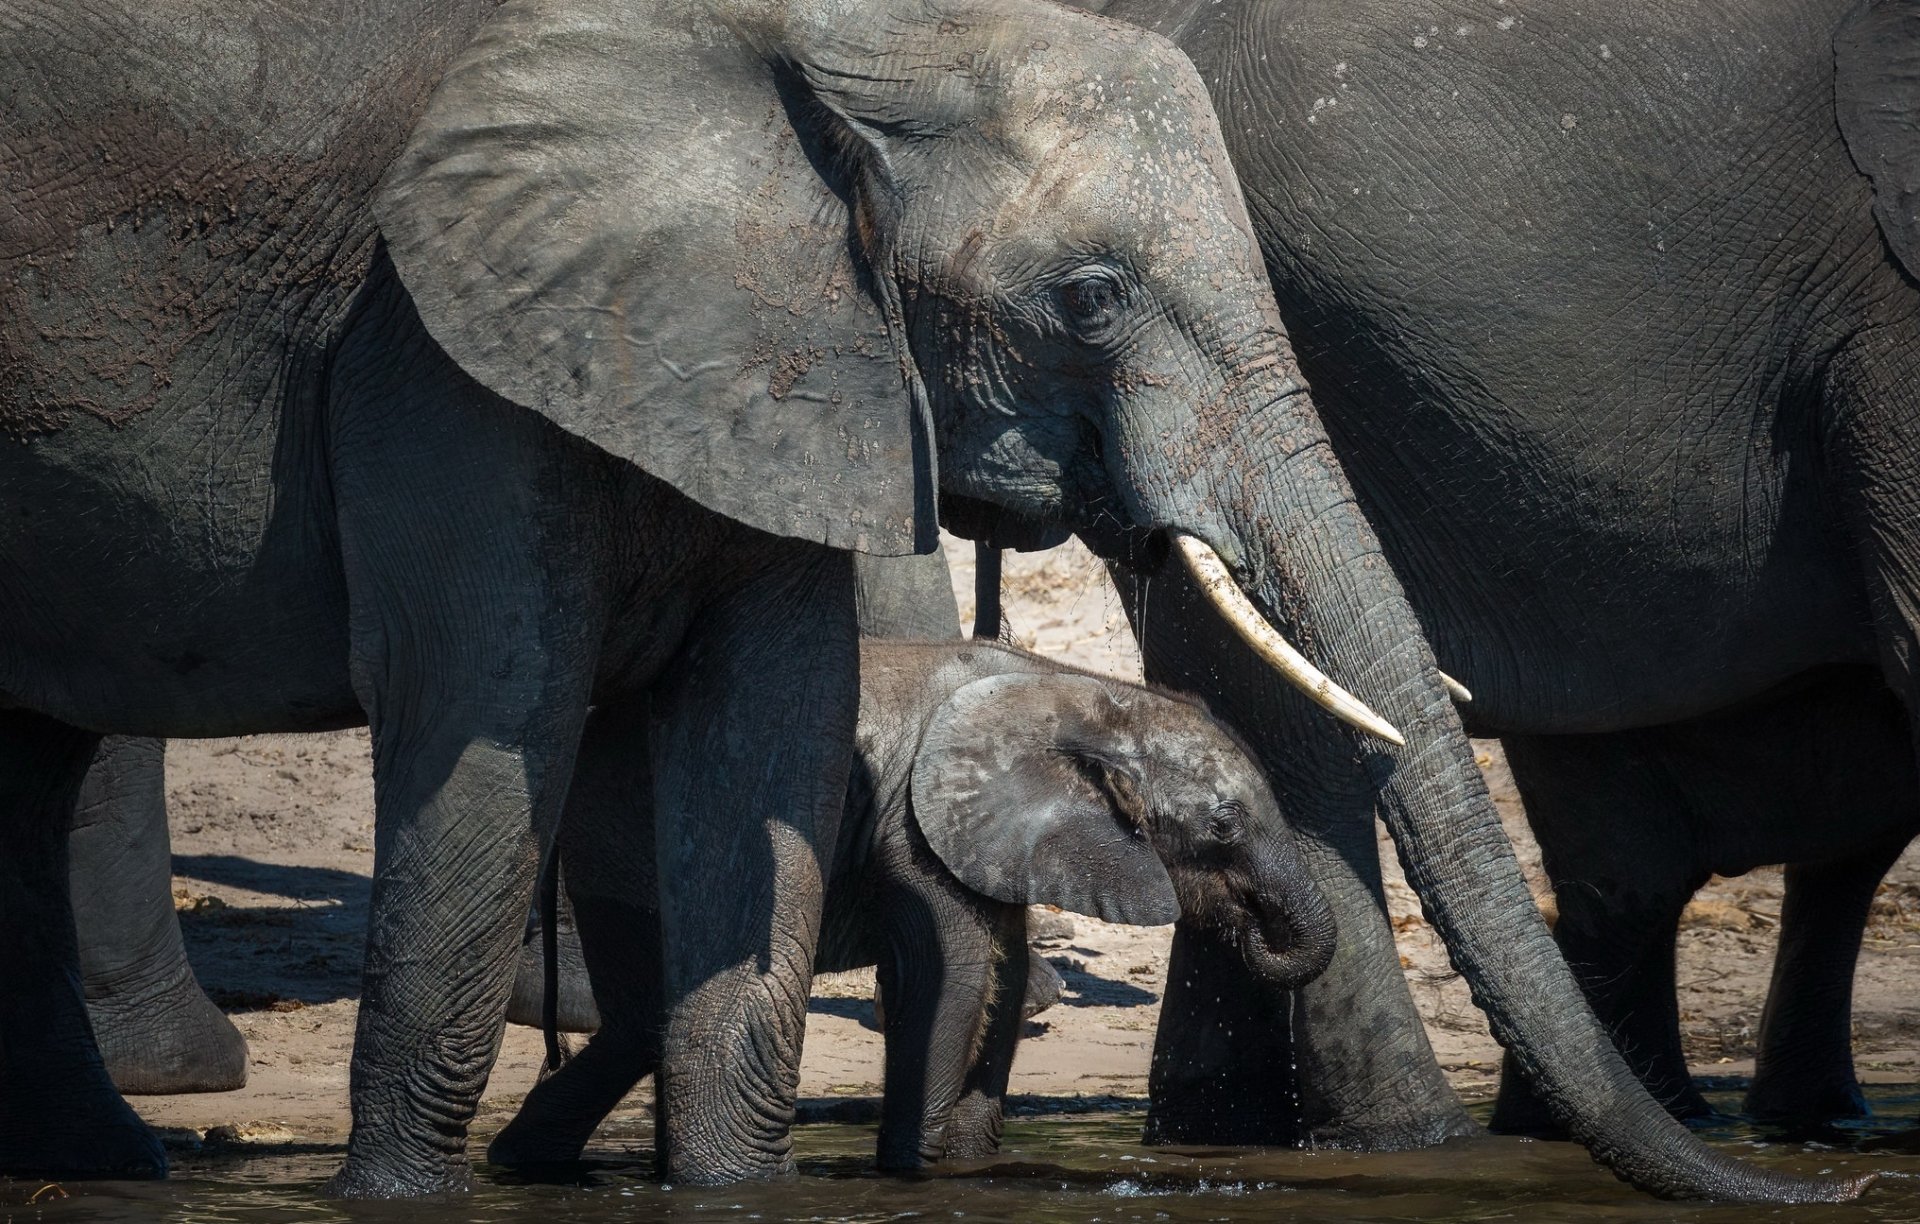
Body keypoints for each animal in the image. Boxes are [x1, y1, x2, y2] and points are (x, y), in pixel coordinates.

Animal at [486, 638, 1337, 1171]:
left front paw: (966, 1166)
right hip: (620, 830)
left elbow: (1001, 979)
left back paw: (527, 1164)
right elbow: (951, 980)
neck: (1084, 693)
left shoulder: (994, 839)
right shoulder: (916, 828)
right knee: (640, 1014)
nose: (1252, 926)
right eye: (1224, 827)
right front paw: (912, 1172)